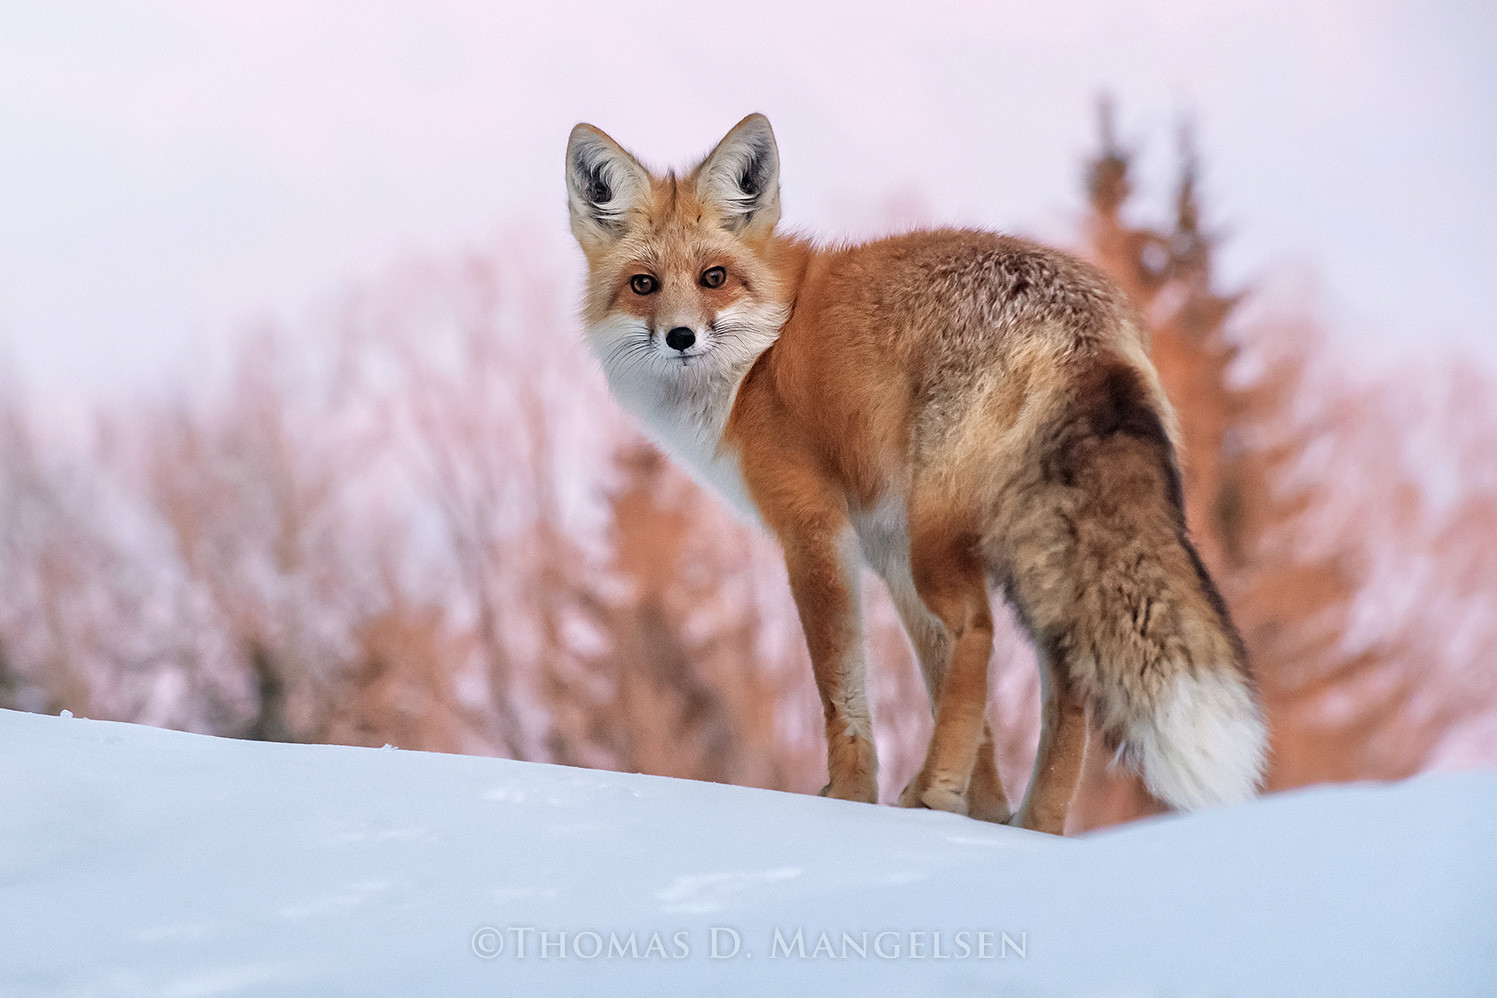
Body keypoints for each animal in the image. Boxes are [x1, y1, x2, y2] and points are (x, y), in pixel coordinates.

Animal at [564, 113, 1268, 834]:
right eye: (643, 285)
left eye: (714, 277)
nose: (680, 337)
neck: (761, 359)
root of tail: (1076, 316)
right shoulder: (886, 548)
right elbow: (950, 689)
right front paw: (979, 813)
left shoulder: (815, 530)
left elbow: (842, 690)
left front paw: (857, 798)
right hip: (1017, 543)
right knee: (1065, 672)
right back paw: (1033, 825)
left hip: (943, 534)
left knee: (980, 632)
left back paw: (934, 791)